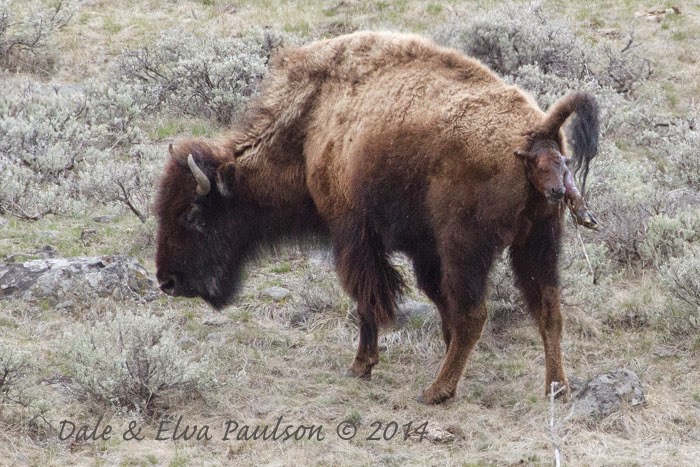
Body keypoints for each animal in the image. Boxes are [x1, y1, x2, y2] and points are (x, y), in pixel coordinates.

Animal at [155, 32, 599, 404]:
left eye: (192, 215)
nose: (168, 281)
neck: (312, 119)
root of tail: (536, 134)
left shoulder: (354, 233)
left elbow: (367, 299)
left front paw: (360, 365)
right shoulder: (423, 249)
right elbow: (436, 300)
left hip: (466, 246)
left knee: (476, 313)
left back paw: (436, 391)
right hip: (538, 241)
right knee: (547, 308)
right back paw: (557, 388)